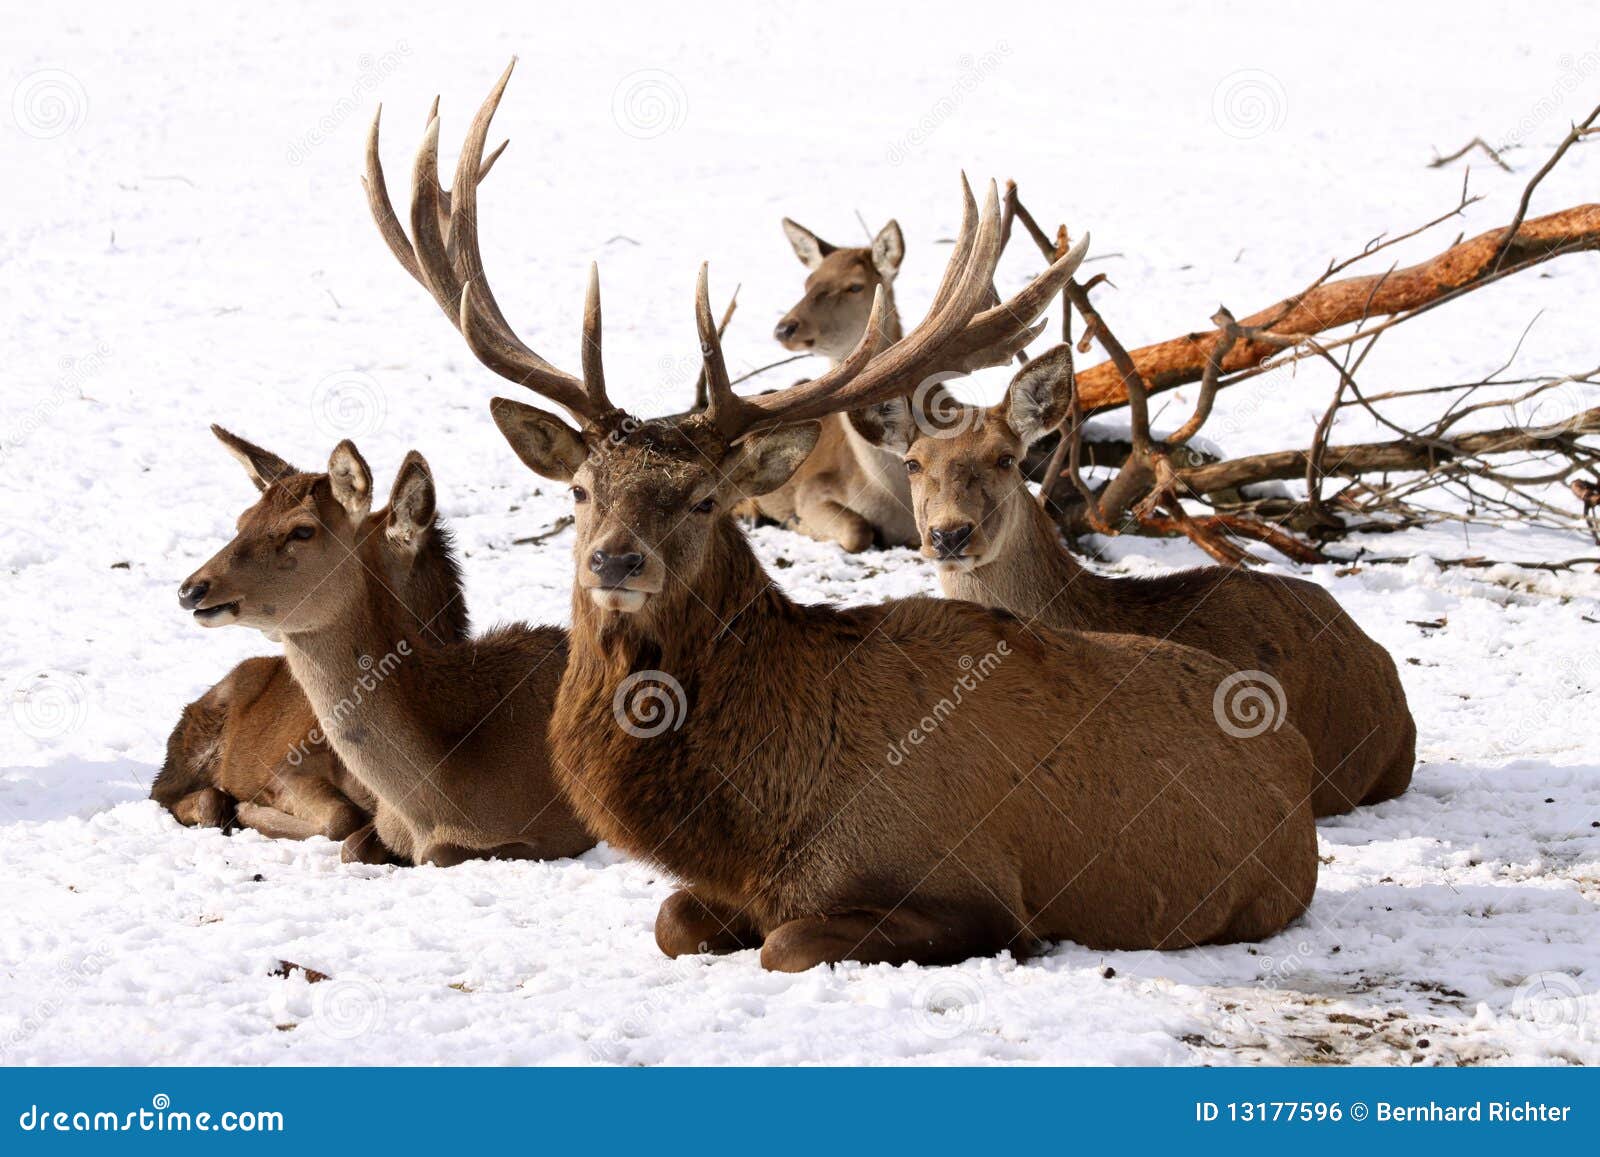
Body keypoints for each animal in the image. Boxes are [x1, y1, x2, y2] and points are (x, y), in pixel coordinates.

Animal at [744, 217, 917, 551]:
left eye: (855, 286)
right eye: (808, 282)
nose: (785, 328)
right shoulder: (812, 489)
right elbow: (857, 530)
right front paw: (795, 521)